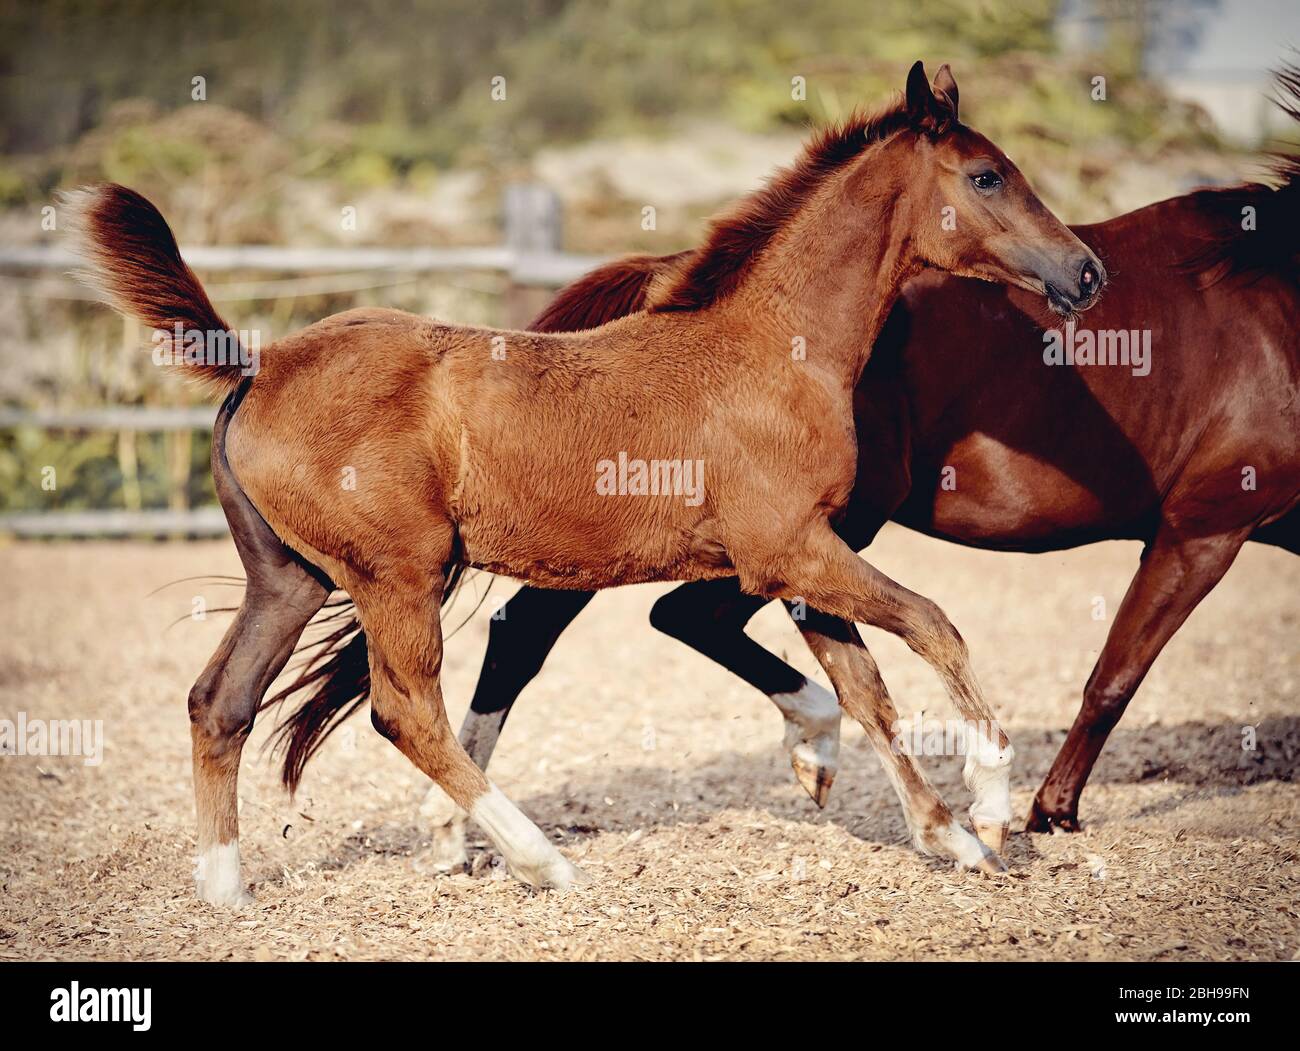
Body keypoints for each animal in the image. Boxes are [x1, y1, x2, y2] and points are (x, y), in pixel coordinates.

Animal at [70, 62, 1104, 905]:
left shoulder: (806, 557)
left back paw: (226, 889)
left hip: (290, 579)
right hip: (397, 575)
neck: (772, 350)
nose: (1086, 271)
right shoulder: (793, 551)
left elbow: (865, 691)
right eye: (986, 175)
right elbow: (932, 625)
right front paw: (990, 803)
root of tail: (258, 362)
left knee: (221, 701)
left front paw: (939, 834)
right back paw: (541, 860)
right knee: (405, 712)